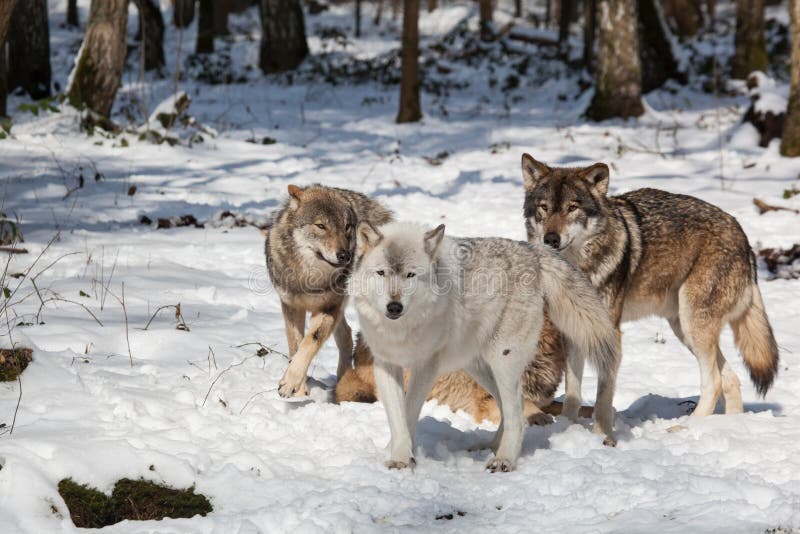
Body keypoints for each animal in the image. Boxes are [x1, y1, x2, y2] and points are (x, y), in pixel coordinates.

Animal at [265, 184, 392, 398]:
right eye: (321, 226)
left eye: (347, 227)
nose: (345, 256)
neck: (310, 278)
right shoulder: (291, 306)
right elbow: (296, 345)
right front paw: (300, 389)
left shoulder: (328, 308)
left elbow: (310, 342)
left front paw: (291, 382)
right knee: (347, 336)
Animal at [350, 221, 619, 471]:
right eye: (381, 273)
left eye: (410, 275)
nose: (394, 307)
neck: (401, 330)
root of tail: (533, 251)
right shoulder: (385, 366)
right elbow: (398, 418)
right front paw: (395, 453)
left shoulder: (425, 367)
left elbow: (408, 412)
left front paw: (404, 458)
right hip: (479, 369)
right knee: (509, 407)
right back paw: (490, 446)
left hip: (503, 361)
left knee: (516, 413)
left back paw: (504, 459)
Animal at [520, 154, 780, 419]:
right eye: (544, 207)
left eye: (572, 208)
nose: (551, 239)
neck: (579, 268)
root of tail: (742, 234)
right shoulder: (573, 332)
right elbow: (572, 393)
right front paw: (568, 426)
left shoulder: (610, 333)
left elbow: (603, 396)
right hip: (683, 327)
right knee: (731, 379)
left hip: (693, 324)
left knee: (714, 382)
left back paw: (688, 424)